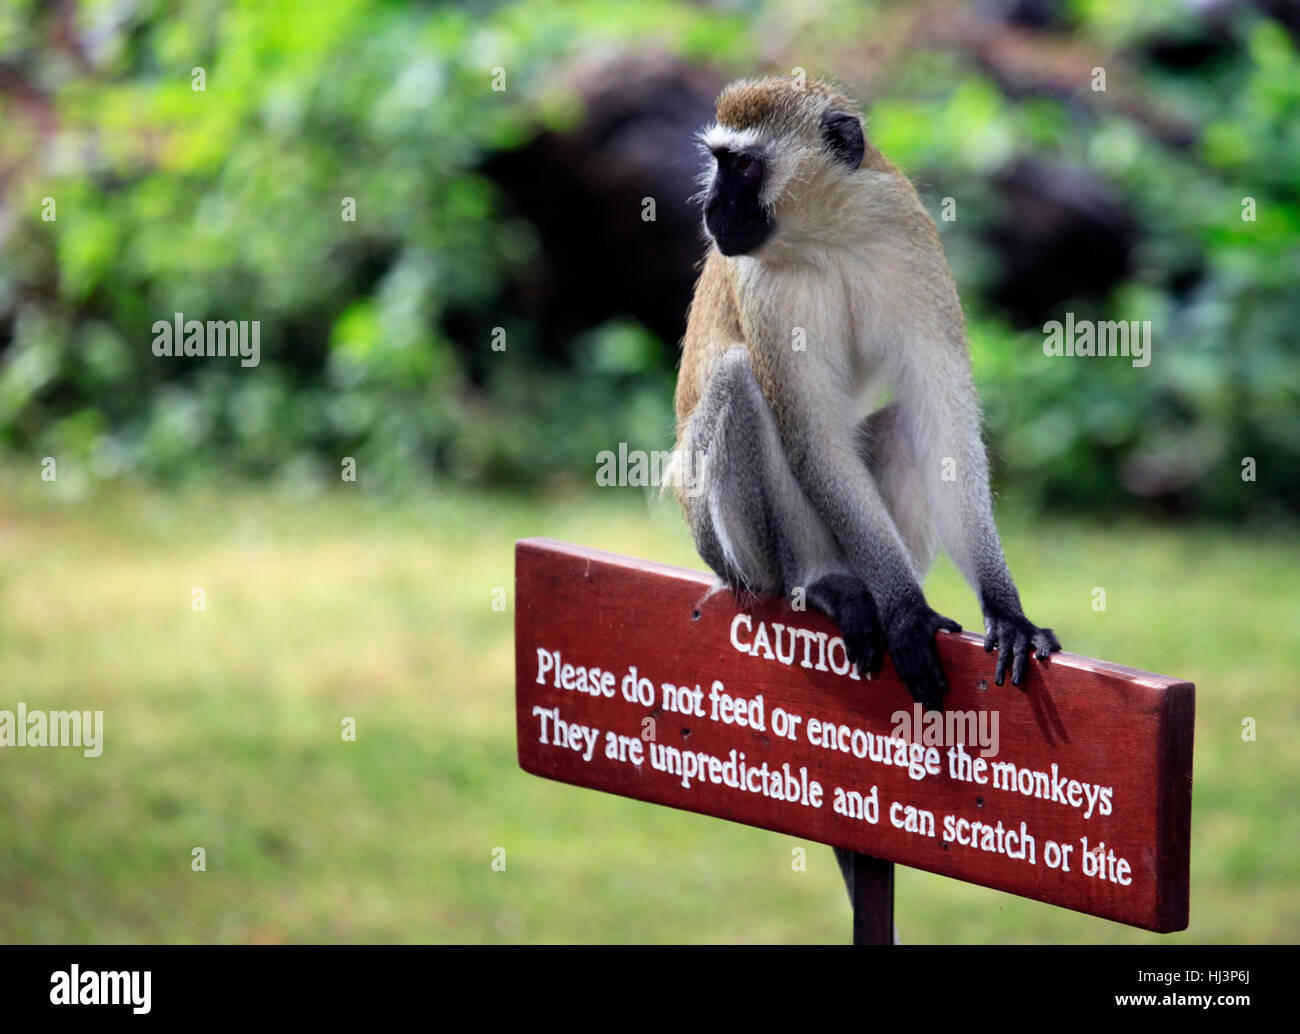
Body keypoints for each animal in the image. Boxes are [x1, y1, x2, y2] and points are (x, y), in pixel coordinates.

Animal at [668, 75, 1061, 715]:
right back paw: (823, 584)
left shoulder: (909, 240)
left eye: (744, 165)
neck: (827, 236)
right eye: (720, 162)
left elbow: (943, 429)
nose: (711, 208)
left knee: (905, 426)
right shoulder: (763, 285)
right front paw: (904, 611)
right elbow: (812, 441)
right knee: (739, 382)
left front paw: (1006, 610)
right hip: (727, 554)